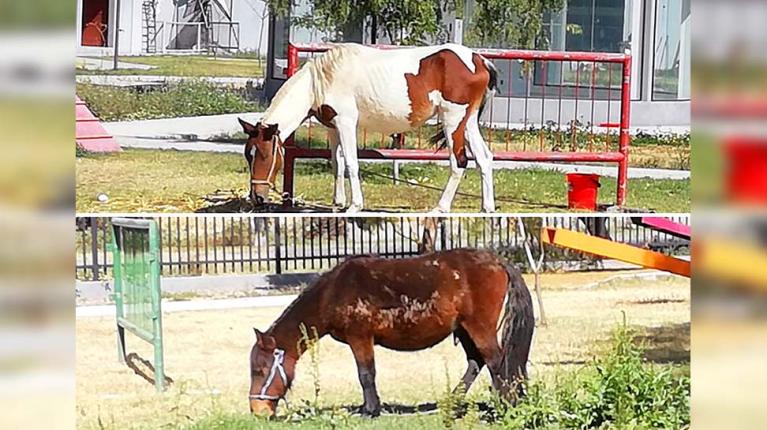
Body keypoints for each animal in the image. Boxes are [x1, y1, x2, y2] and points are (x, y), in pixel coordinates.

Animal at [237, 42, 499, 212]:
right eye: (249, 155)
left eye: (265, 154)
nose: (257, 197)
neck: (321, 81)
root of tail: (479, 60)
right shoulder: (333, 127)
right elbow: (336, 162)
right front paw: (338, 202)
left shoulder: (346, 123)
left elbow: (351, 163)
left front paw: (354, 206)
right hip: (467, 122)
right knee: (484, 158)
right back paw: (487, 208)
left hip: (452, 120)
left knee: (459, 162)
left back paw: (441, 208)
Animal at [248, 248, 535, 417]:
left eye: (259, 371)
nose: (257, 410)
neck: (334, 291)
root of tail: (496, 260)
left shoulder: (360, 338)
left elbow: (366, 374)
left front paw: (370, 410)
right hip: (464, 328)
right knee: (476, 362)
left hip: (479, 327)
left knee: (496, 362)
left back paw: (504, 404)